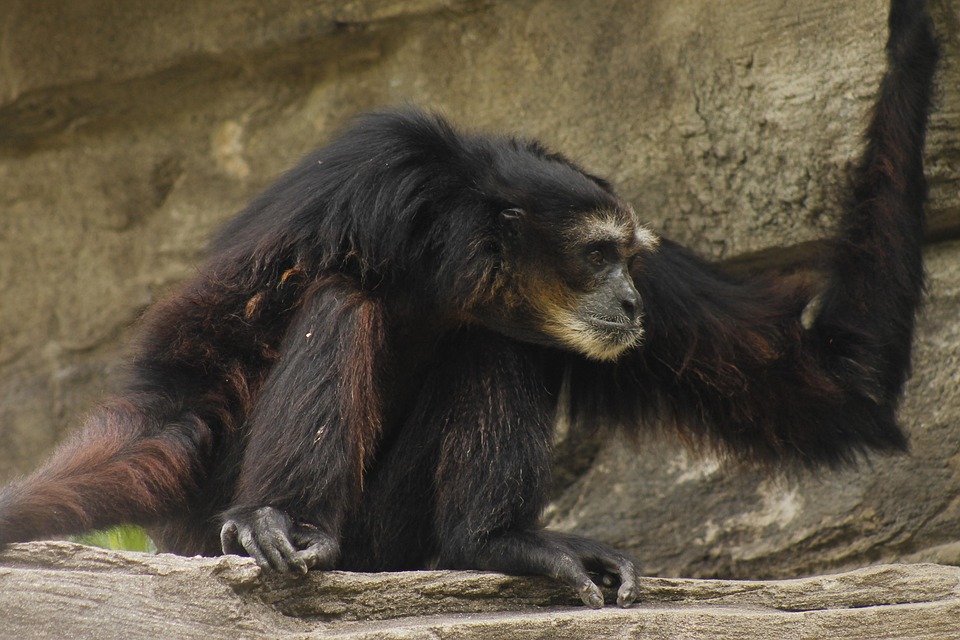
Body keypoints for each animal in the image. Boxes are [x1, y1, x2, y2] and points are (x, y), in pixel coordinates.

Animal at [0, 0, 939, 610]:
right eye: (598, 255)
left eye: (629, 257)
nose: (632, 298)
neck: (450, 260)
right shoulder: (360, 176)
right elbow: (181, 395)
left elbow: (828, 383)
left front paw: (913, 44)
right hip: (249, 527)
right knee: (343, 299)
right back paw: (284, 518)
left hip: (393, 539)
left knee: (505, 344)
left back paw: (491, 541)